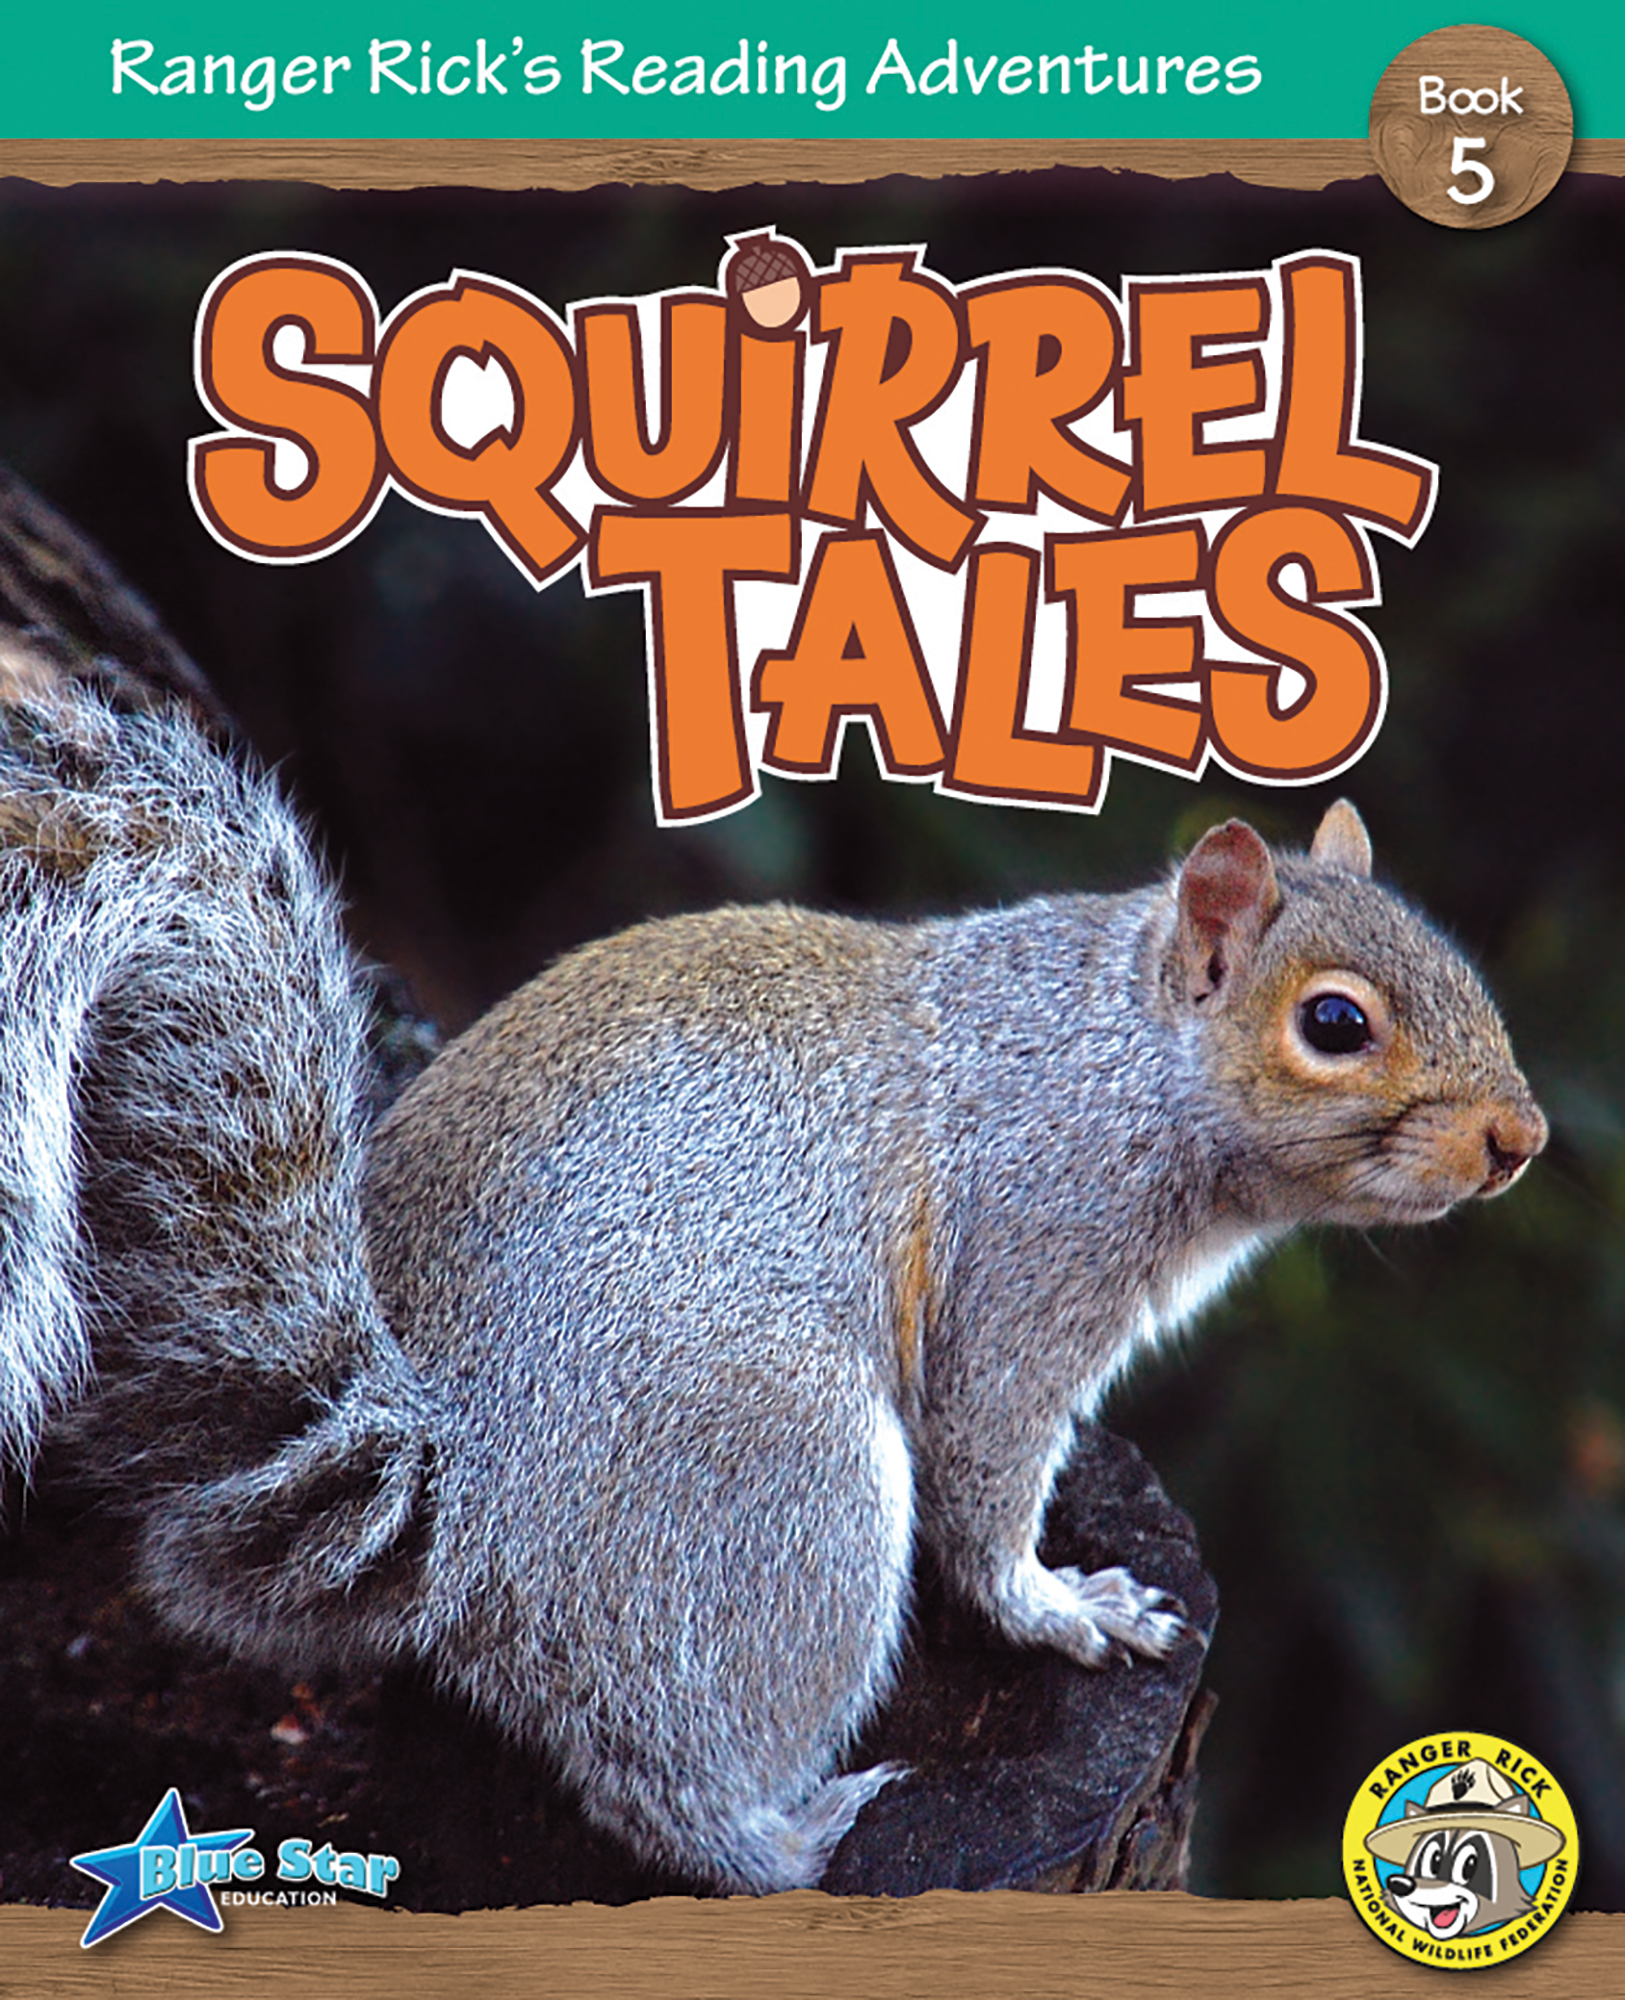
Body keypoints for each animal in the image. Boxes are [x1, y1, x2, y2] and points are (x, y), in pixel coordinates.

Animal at [0, 686, 1546, 1894]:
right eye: (1332, 1023)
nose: (1520, 1141)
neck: (1113, 1053)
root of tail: (456, 1499)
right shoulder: (1030, 1261)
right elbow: (986, 1473)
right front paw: (1067, 1606)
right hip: (784, 1481)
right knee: (659, 1776)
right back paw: (790, 1832)